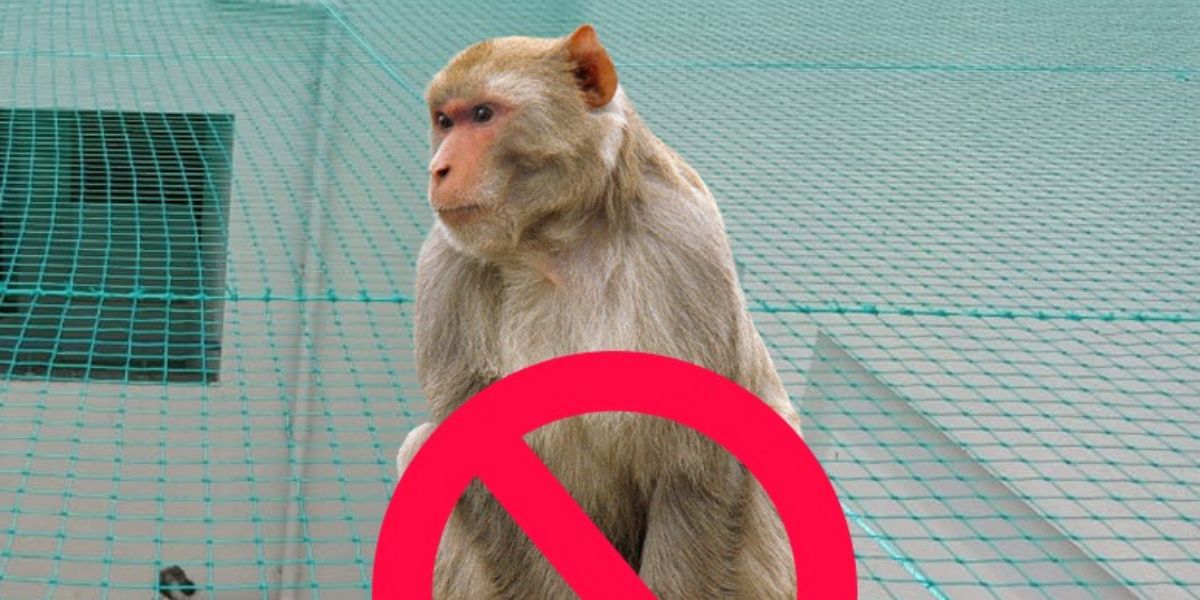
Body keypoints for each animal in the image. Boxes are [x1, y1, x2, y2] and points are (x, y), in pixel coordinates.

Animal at [396, 24, 801, 599]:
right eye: (444, 121)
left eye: (483, 114)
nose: (438, 169)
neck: (557, 238)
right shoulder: (444, 267)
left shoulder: (686, 246)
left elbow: (695, 459)